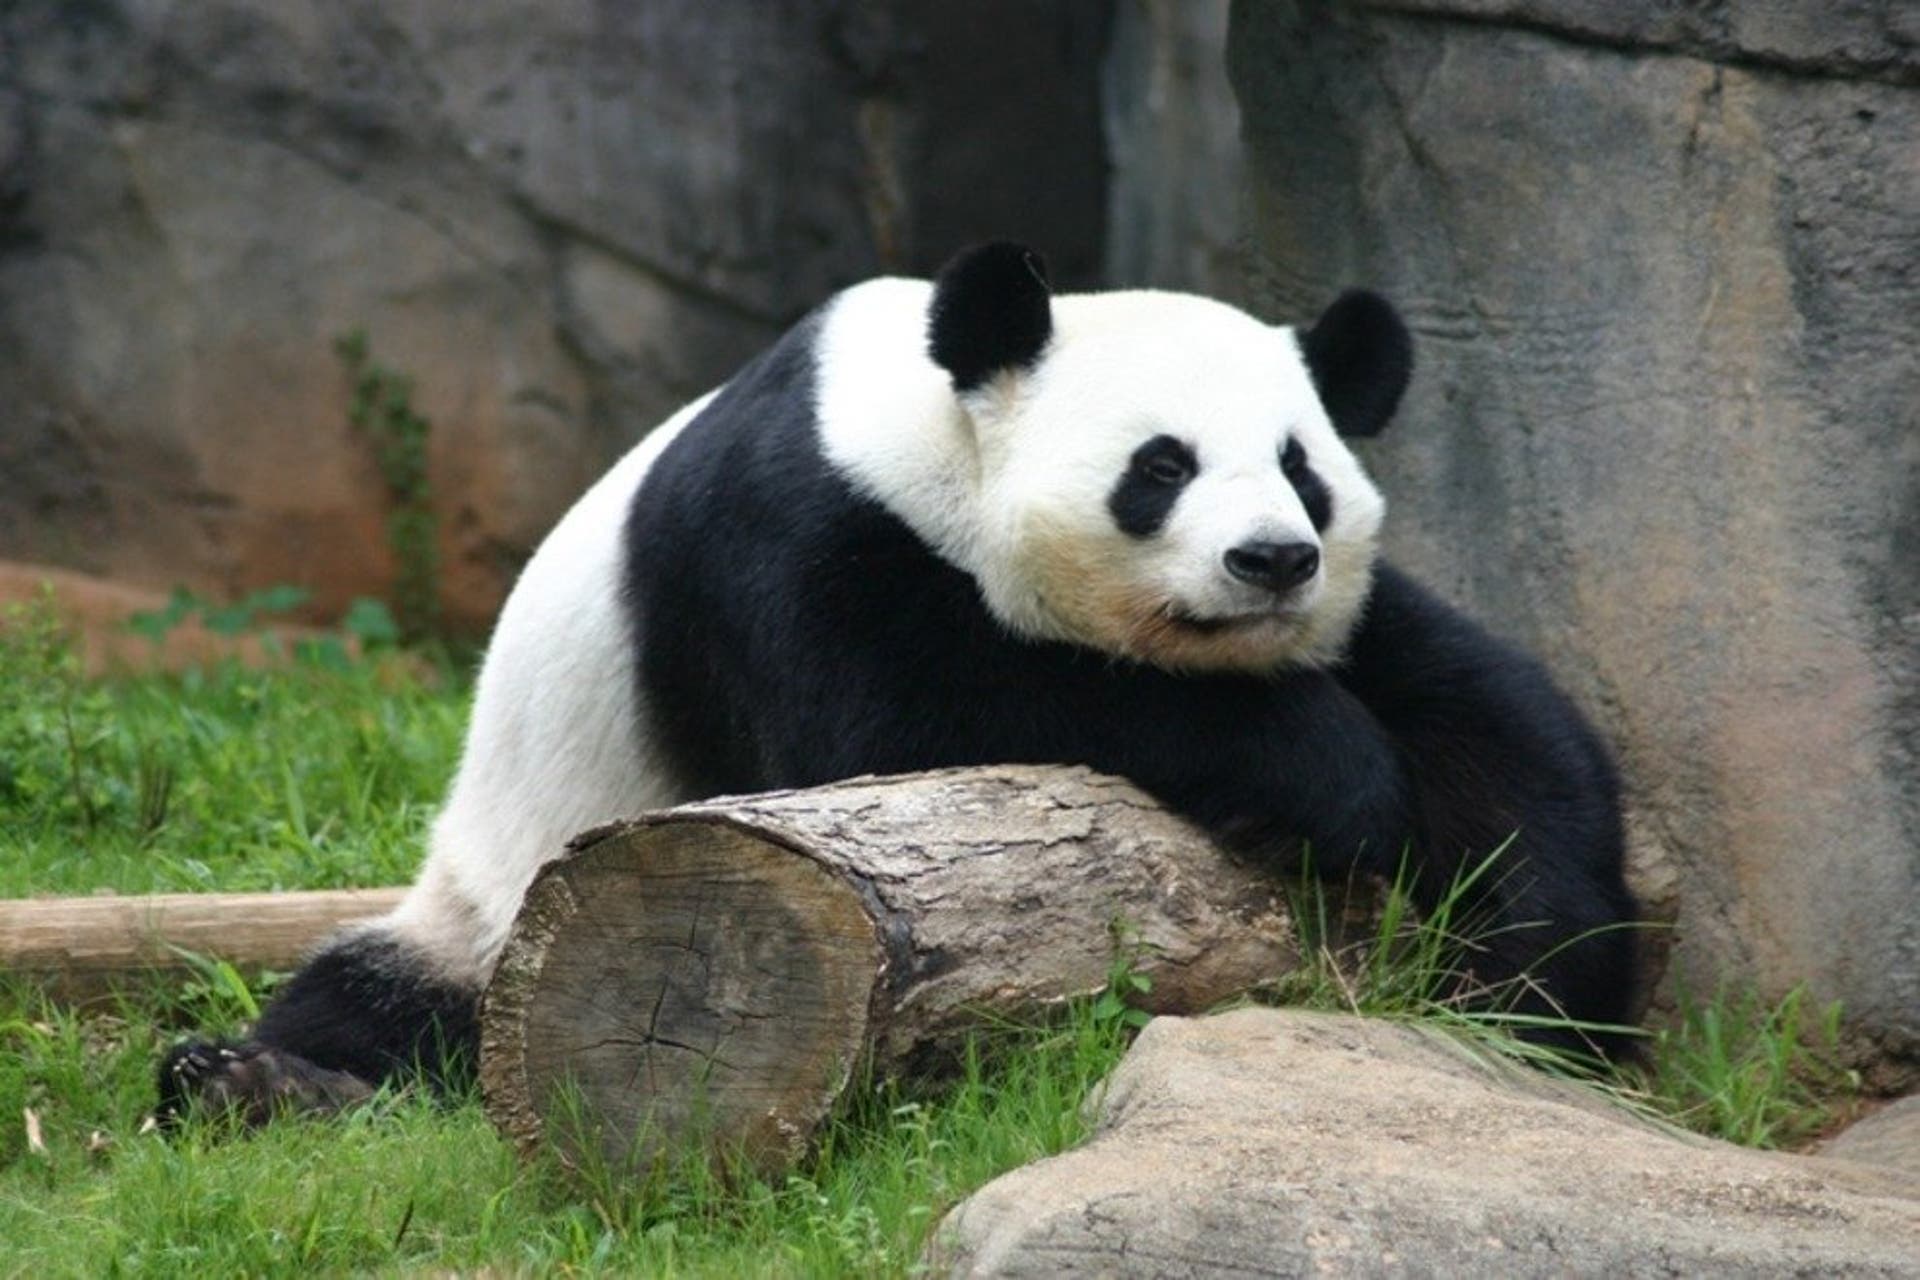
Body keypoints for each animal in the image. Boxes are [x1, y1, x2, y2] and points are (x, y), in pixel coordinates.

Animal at [158, 242, 1638, 1122]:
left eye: (1303, 469)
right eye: (1160, 466)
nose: (1271, 559)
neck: (935, 433)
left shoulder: (1353, 617)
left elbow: (1500, 718)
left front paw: (1548, 997)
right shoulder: (788, 531)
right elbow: (903, 726)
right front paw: (1329, 774)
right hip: (495, 902)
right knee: (386, 1003)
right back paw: (255, 1080)